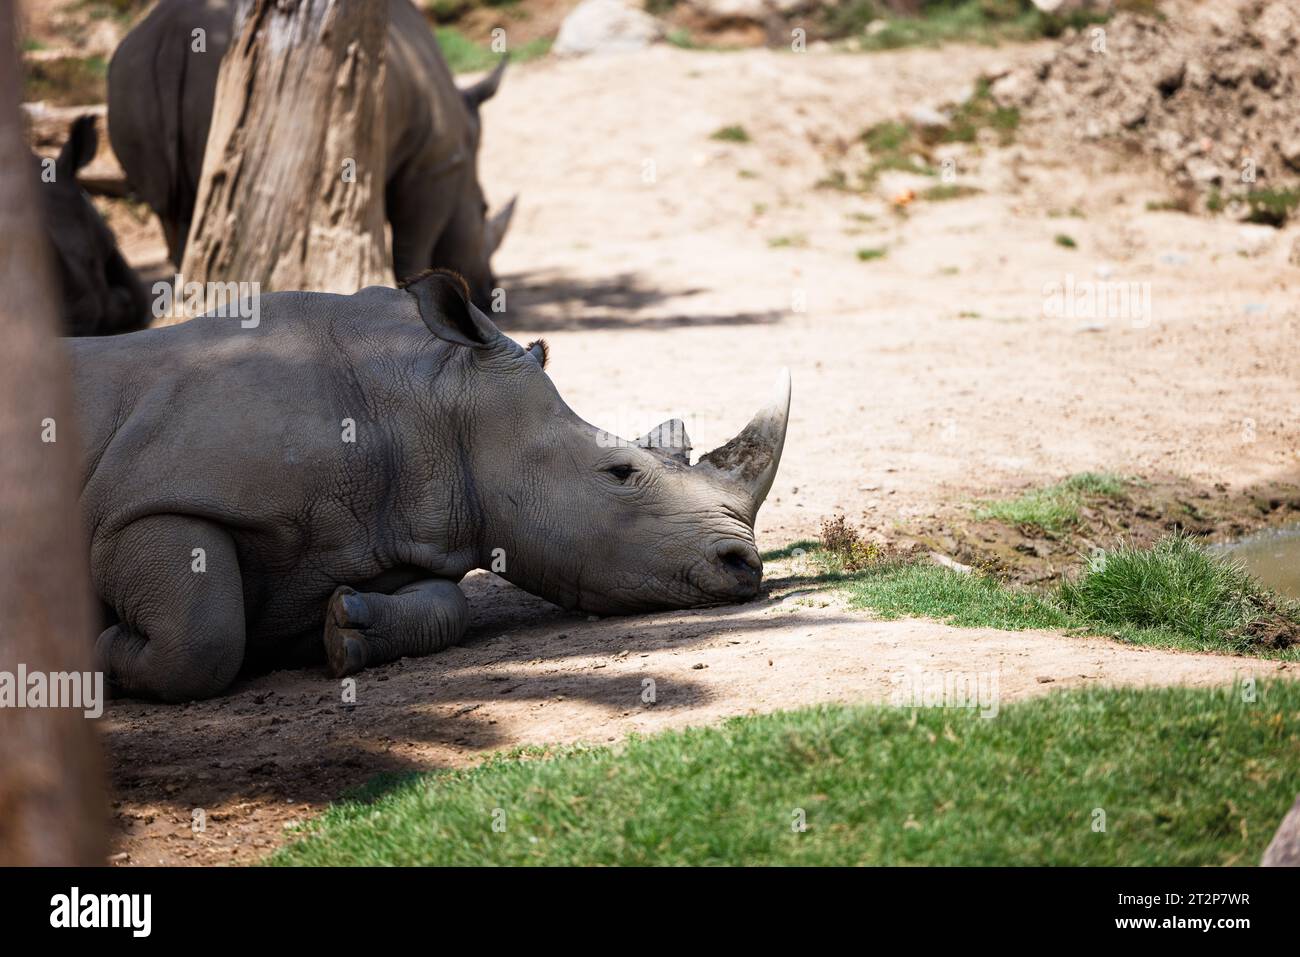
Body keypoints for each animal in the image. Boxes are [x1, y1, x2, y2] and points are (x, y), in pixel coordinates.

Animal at [69, 271, 790, 702]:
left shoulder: (381, 527)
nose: (744, 565)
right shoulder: (140, 506)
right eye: (620, 474)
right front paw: (98, 649)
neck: (426, 406)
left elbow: (447, 602)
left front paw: (345, 632)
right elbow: (204, 635)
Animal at [107, 0, 514, 308]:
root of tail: (170, 37)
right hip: (213, 75)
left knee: (172, 214)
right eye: (484, 210)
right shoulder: (436, 164)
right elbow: (414, 240)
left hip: (130, 77)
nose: (490, 291)